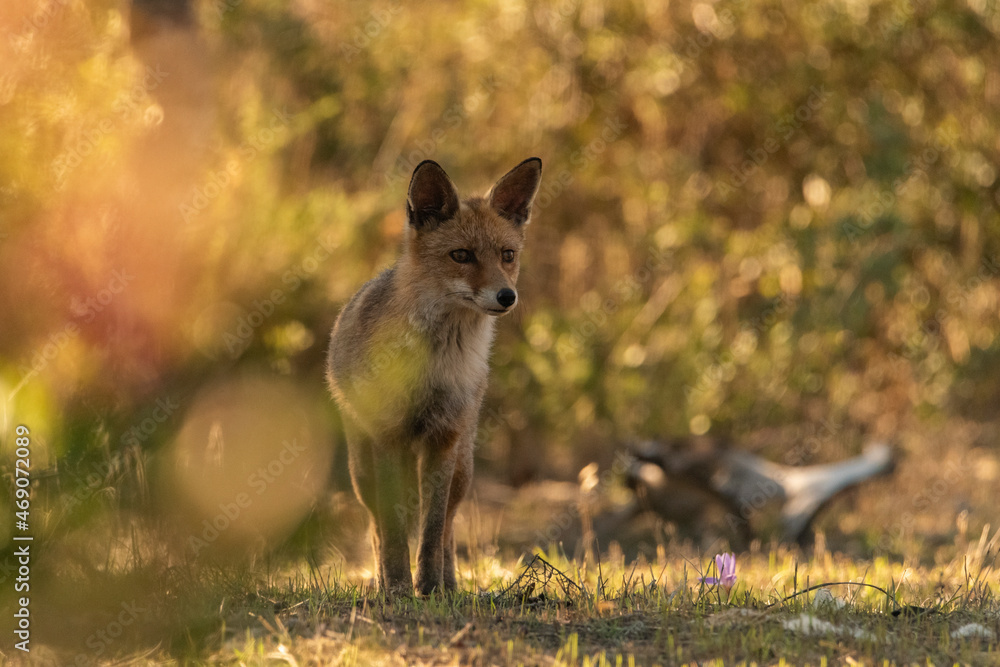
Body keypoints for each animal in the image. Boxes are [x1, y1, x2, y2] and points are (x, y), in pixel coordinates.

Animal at [327, 157, 543, 596]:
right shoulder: (389, 438)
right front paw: (397, 587)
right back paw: (381, 582)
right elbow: (394, 530)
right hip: (362, 472)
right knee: (376, 527)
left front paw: (429, 588)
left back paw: (449, 583)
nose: (506, 296)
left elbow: (432, 528)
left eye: (507, 255)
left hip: (464, 467)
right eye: (461, 255)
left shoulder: (444, 439)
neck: (434, 365)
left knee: (448, 528)